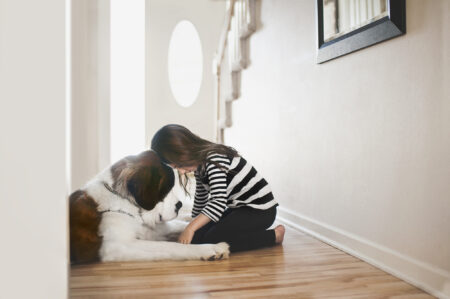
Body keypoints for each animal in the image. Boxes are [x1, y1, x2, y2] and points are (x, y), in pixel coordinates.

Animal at [71, 151, 232, 264]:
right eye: (165, 189)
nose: (179, 205)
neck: (123, 200)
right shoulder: (119, 246)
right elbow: (170, 246)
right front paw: (211, 248)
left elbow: (178, 225)